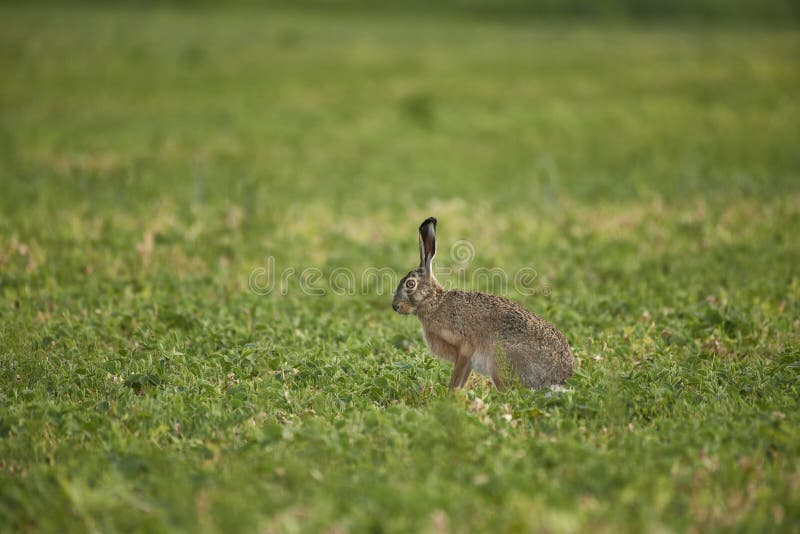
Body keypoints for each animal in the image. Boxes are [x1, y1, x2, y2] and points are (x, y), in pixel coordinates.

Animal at [392, 217, 574, 390]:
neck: (434, 302)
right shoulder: (468, 360)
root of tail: (559, 377)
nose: (395, 306)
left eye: (410, 284)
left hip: (498, 361)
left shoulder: (464, 347)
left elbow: (456, 379)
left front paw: (449, 395)